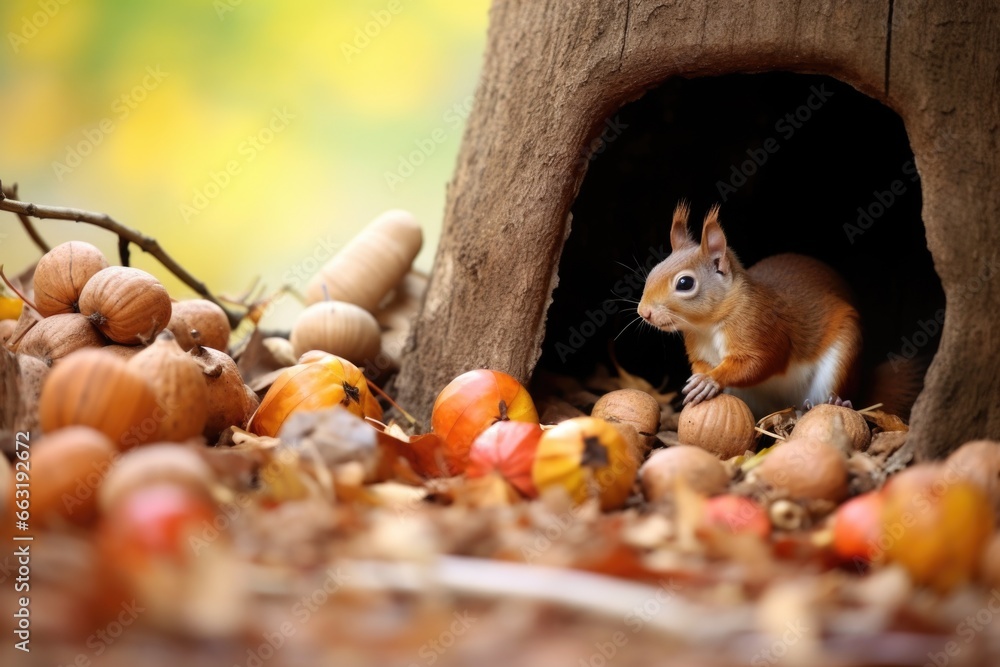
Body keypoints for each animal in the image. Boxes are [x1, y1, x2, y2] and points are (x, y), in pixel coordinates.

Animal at [637, 201, 863, 417]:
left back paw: (835, 402)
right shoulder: (698, 347)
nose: (644, 312)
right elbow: (700, 364)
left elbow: (759, 362)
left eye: (685, 283)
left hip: (839, 361)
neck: (708, 325)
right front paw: (700, 379)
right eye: (654, 270)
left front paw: (710, 379)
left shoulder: (761, 328)